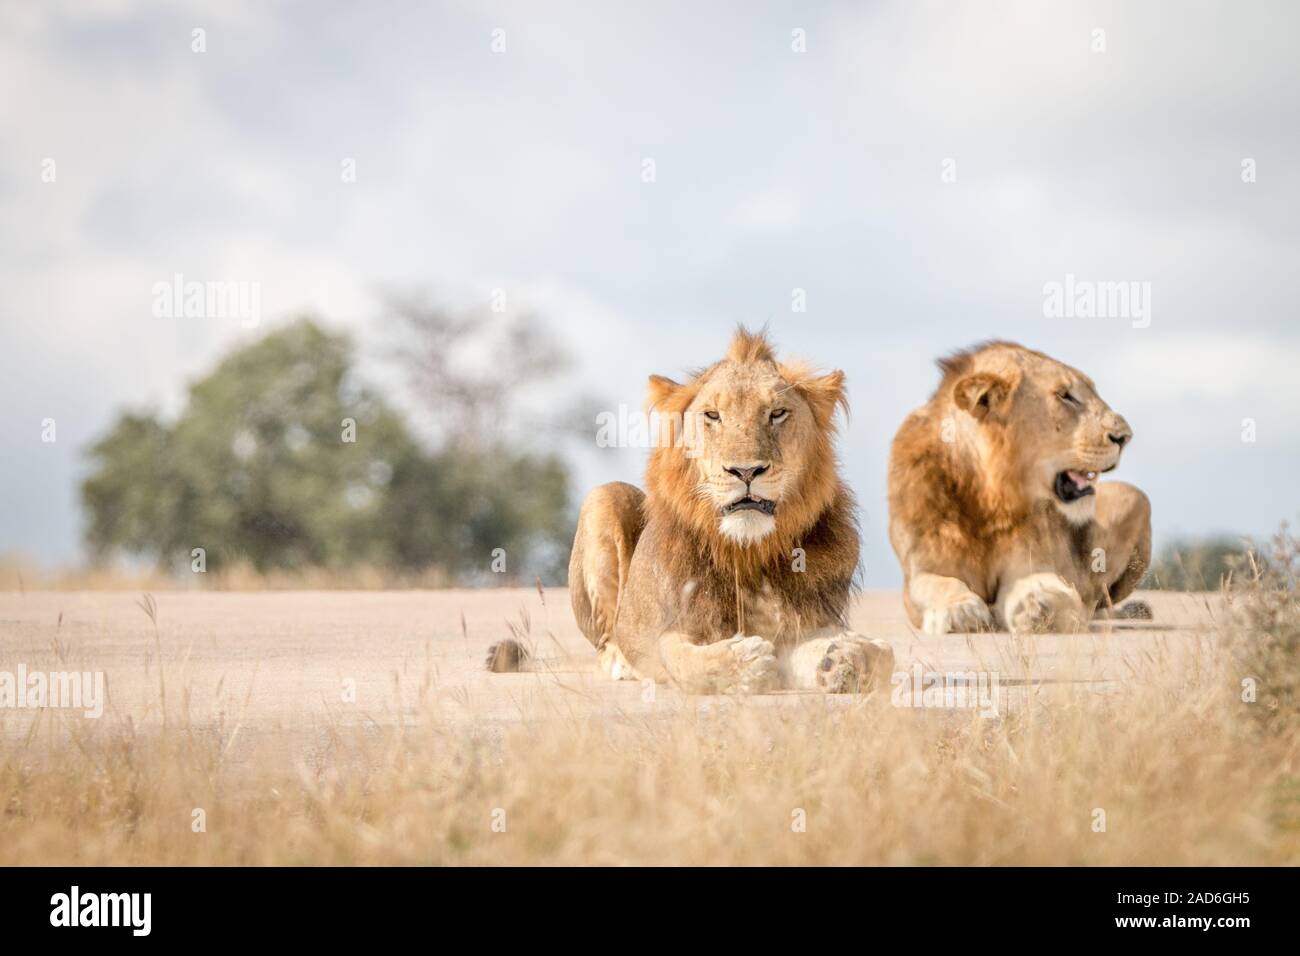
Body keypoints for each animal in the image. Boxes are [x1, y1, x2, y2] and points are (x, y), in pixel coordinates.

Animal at [487, 327, 894, 694]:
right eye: (712, 415)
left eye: (778, 413)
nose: (746, 471)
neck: (748, 553)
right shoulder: (675, 628)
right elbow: (685, 661)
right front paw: (743, 664)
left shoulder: (808, 618)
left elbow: (877, 653)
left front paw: (847, 659)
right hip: (605, 497)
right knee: (607, 642)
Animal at [887, 341, 1151, 635]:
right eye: (1065, 396)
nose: (1125, 437)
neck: (989, 498)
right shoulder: (920, 570)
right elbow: (937, 584)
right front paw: (960, 609)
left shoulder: (1032, 562)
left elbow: (1043, 584)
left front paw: (1040, 605)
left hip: (1134, 497)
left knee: (1099, 601)